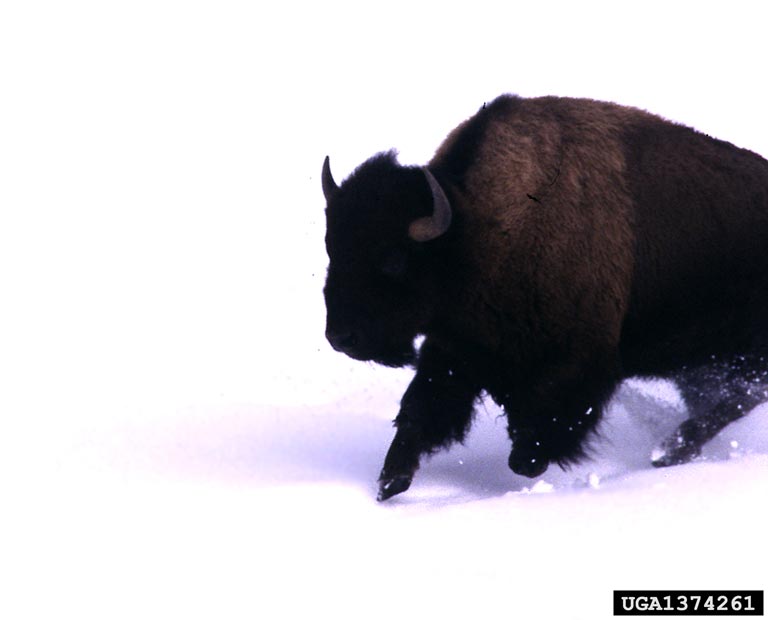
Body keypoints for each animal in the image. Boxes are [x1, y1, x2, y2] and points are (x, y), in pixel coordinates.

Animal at [321, 95, 768, 501]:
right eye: (331, 248)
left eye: (394, 260)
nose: (341, 337)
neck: (477, 231)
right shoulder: (456, 350)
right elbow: (419, 413)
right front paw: (389, 483)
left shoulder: (575, 365)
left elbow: (529, 446)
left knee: (740, 398)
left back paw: (668, 451)